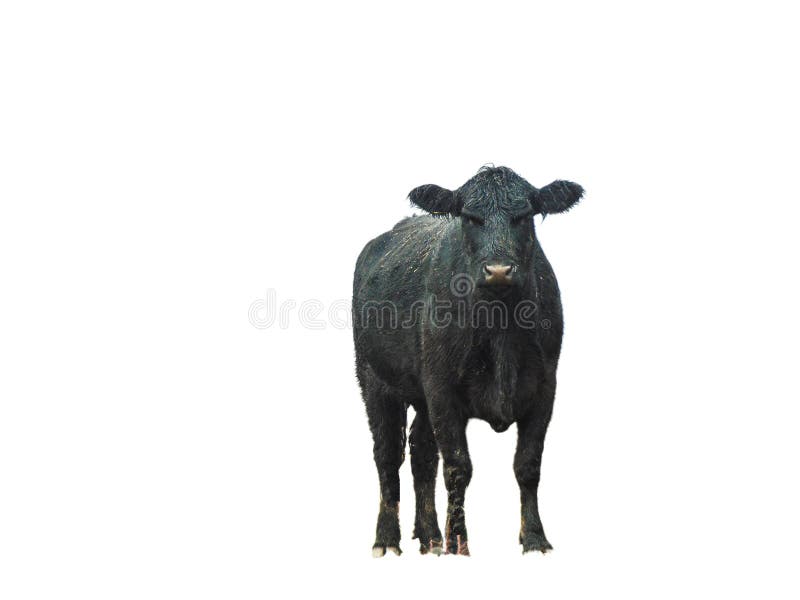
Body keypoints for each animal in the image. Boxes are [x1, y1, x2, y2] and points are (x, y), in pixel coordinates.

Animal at [352, 166, 584, 556]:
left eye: (524, 215)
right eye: (470, 217)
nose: (499, 270)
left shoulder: (544, 388)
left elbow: (528, 465)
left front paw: (534, 538)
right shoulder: (443, 390)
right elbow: (458, 467)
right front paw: (459, 543)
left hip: (421, 396)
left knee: (422, 453)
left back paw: (430, 537)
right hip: (374, 379)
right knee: (388, 454)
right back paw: (387, 539)